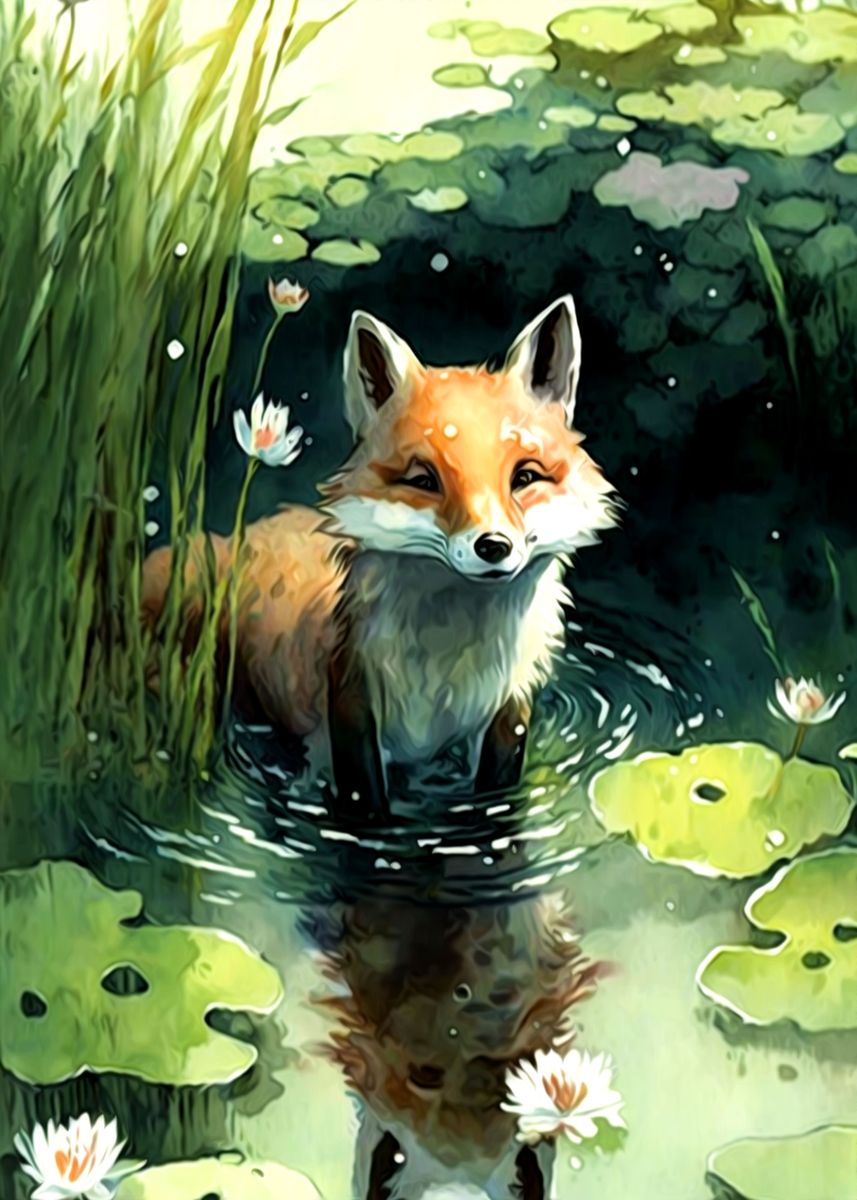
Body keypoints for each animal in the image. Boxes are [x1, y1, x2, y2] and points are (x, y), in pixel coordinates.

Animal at [141, 294, 617, 815]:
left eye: (524, 477)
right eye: (424, 479)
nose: (493, 546)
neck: (449, 669)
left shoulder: (507, 713)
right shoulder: (352, 706)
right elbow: (366, 803)